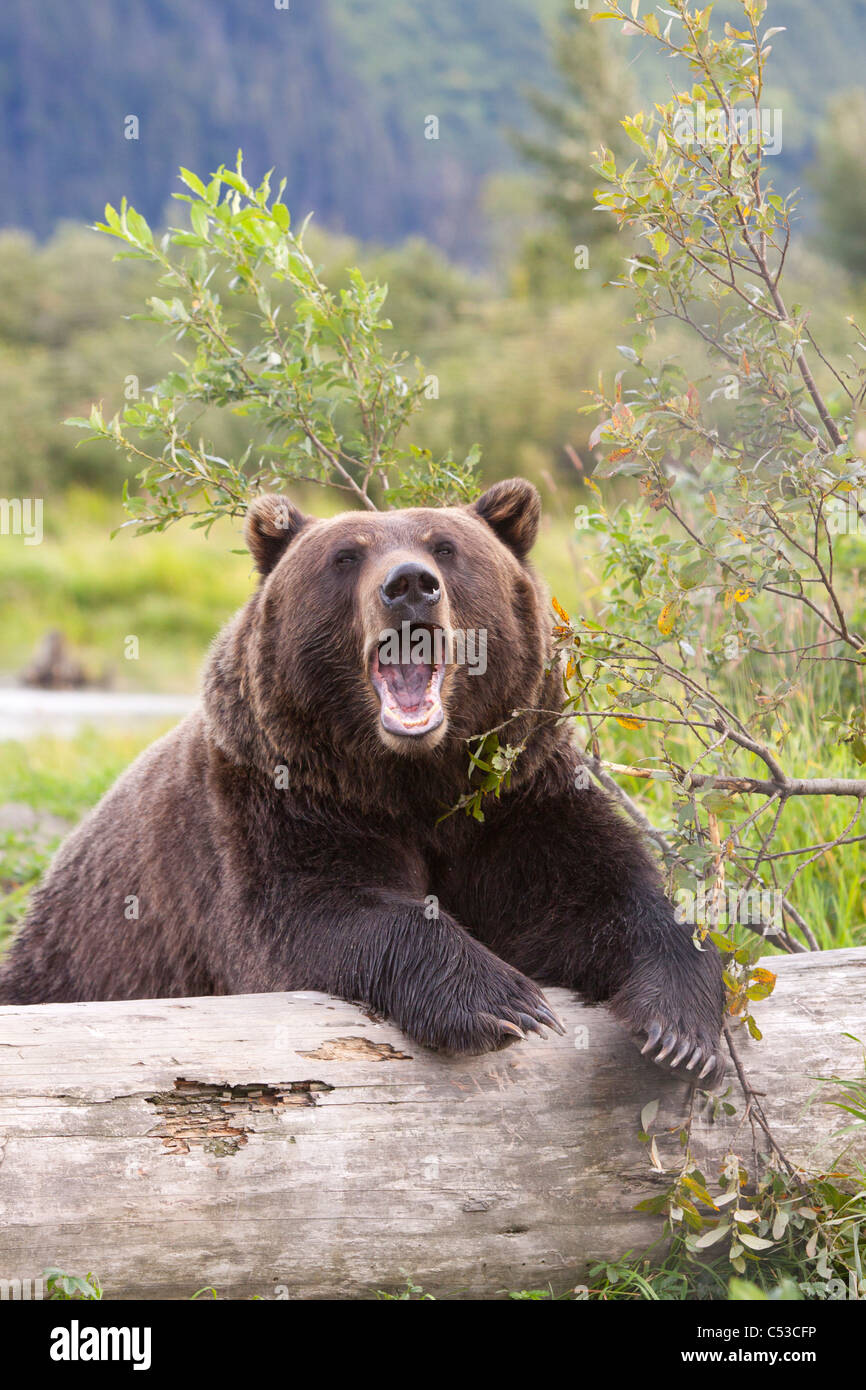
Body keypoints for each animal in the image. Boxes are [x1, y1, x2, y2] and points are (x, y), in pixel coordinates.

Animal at [0, 479, 725, 1085]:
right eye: (346, 556)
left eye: (445, 547)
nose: (409, 585)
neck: (410, 779)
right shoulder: (277, 805)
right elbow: (314, 913)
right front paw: (502, 1001)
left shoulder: (512, 799)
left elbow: (592, 893)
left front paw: (684, 1028)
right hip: (68, 962)